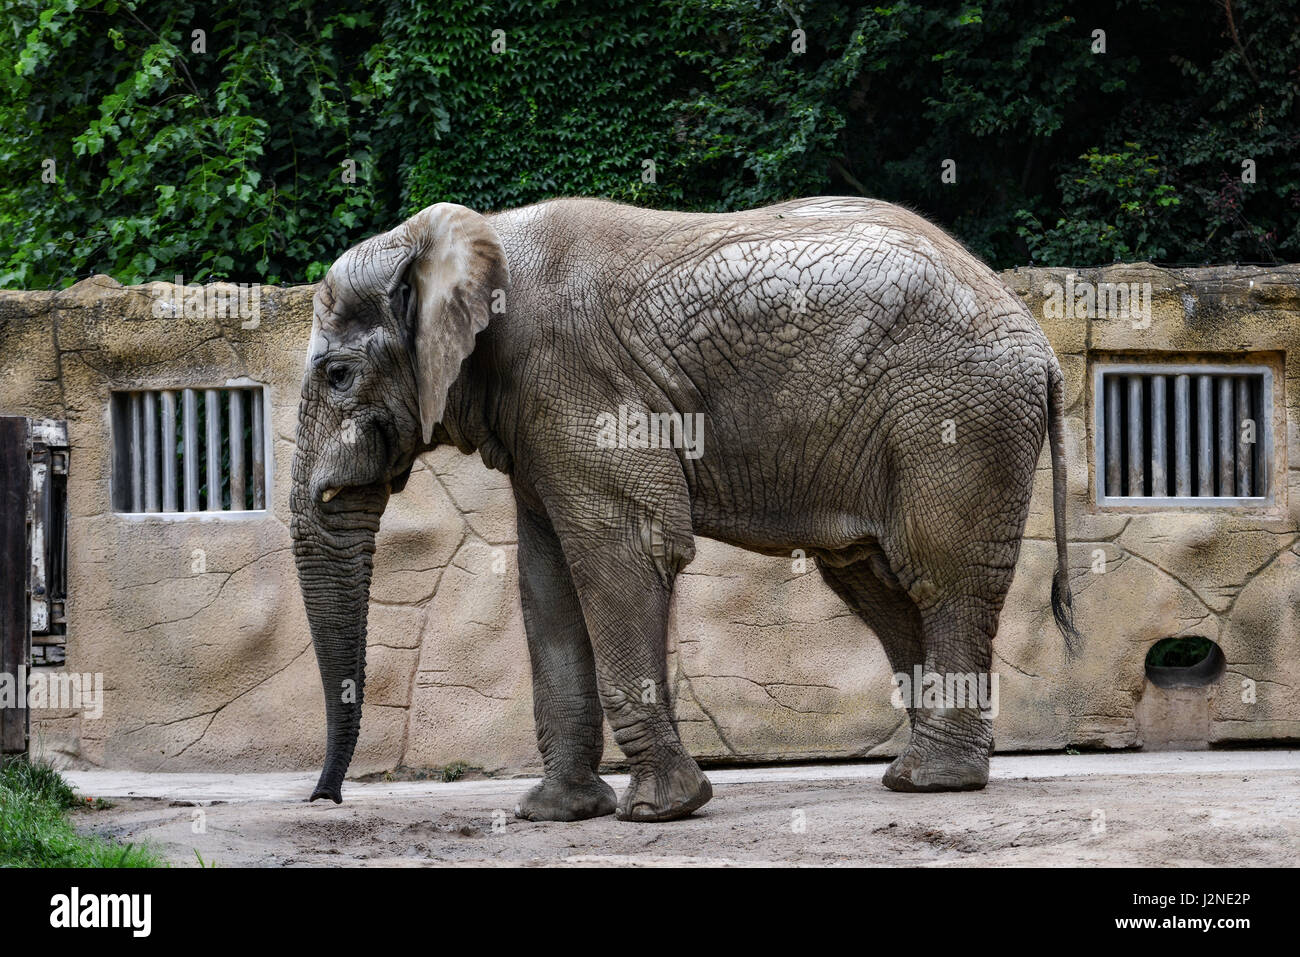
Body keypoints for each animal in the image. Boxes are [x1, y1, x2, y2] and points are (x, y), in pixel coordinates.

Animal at [290, 195, 1082, 822]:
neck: (467, 242)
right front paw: (558, 814)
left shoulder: (577, 384)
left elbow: (623, 550)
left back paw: (931, 782)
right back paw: (922, 774)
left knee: (937, 577)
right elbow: (547, 582)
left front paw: (659, 812)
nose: (324, 799)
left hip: (955, 417)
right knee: (878, 584)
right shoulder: (537, 415)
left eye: (338, 375)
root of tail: (1041, 343)